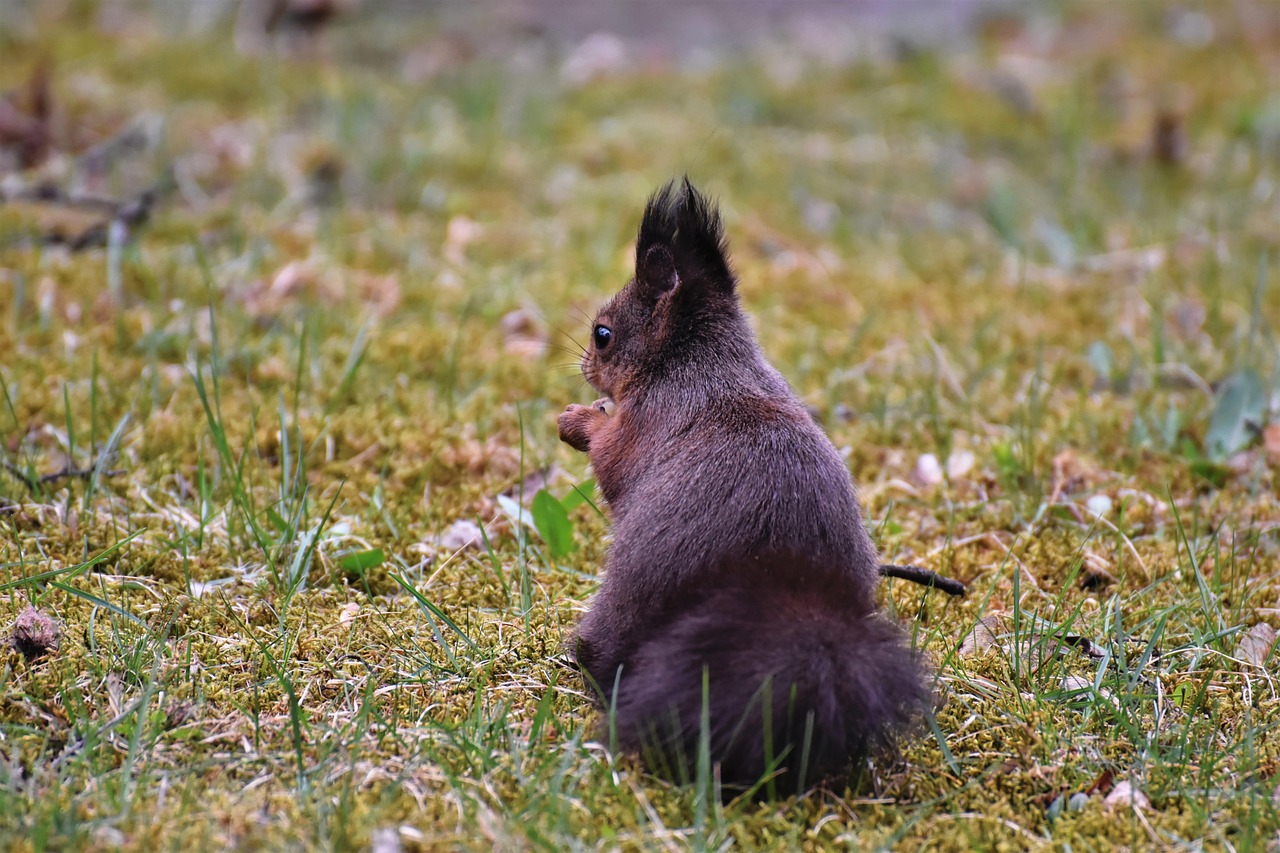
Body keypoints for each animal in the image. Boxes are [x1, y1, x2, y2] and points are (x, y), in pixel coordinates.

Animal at [557, 178, 930, 793]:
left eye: (603, 334)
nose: (586, 367)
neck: (698, 361)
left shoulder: (649, 420)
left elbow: (613, 461)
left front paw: (578, 421)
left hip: (633, 596)